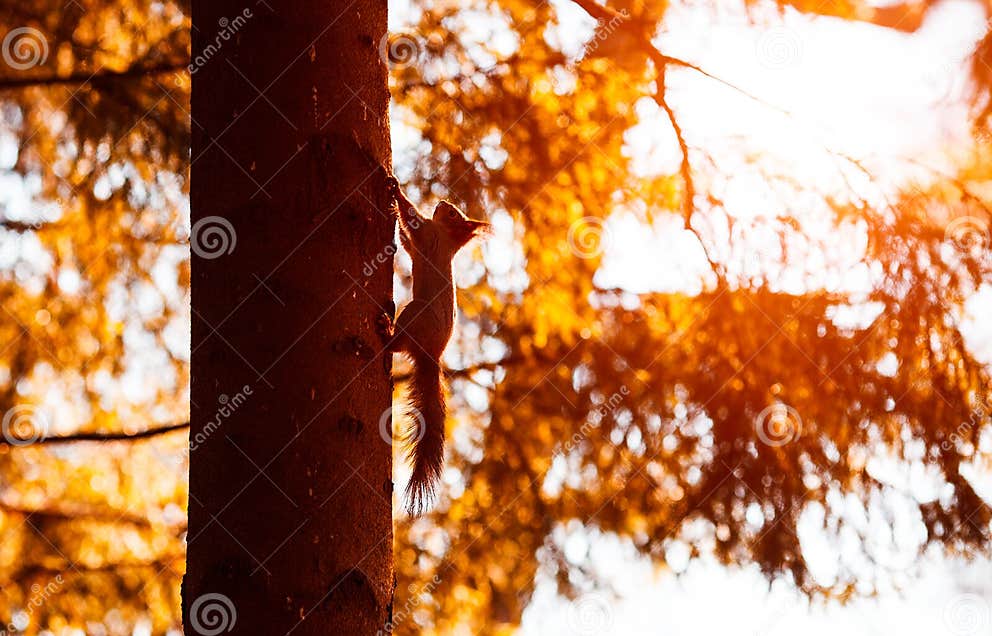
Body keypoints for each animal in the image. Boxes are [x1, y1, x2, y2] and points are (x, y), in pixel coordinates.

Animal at [385, 176, 489, 515]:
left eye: (454, 214)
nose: (443, 203)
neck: (448, 239)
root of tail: (431, 354)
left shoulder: (429, 235)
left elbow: (415, 224)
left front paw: (396, 190)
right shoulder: (423, 244)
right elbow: (408, 243)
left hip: (415, 314)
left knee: (397, 344)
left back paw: (387, 332)